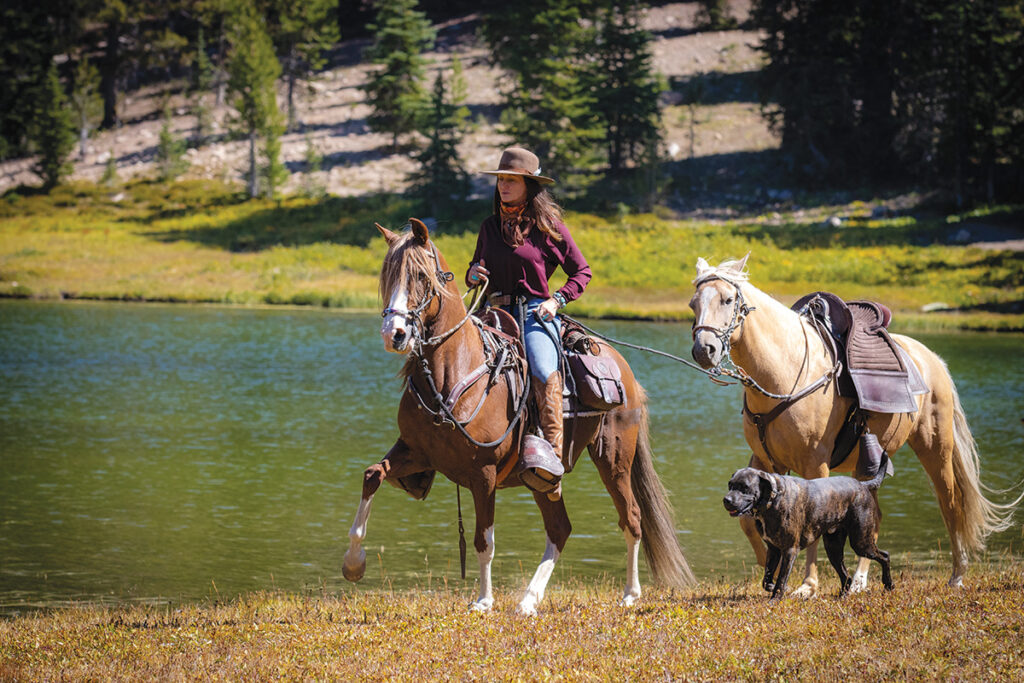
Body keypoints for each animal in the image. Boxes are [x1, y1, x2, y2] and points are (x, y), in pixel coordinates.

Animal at [342, 218, 694, 614]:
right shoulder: (415, 452)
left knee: (631, 518)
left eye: (419, 275)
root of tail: (625, 370)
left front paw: (483, 600)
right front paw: (353, 564)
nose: (395, 334)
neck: (453, 371)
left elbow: (484, 539)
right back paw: (528, 599)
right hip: (541, 479)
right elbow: (371, 476)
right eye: (387, 275)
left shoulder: (483, 473)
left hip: (614, 459)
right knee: (560, 528)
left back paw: (630, 594)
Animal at [689, 254, 1022, 596]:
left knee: (951, 504)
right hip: (867, 465)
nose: (704, 350)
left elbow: (812, 521)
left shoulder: (815, 463)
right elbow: (747, 521)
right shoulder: (764, 461)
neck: (785, 372)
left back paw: (956, 575)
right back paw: (860, 581)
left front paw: (808, 585)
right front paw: (765, 563)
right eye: (693, 304)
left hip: (935, 449)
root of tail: (932, 360)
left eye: (728, 300)